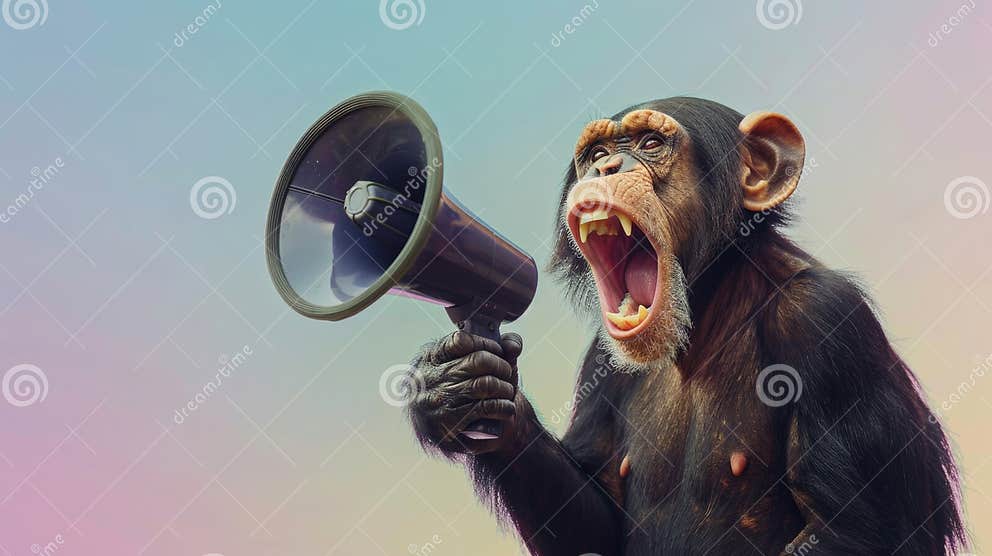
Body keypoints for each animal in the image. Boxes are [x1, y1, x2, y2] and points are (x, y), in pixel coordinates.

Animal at [405, 97, 965, 555]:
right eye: (596, 153)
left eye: (651, 144)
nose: (607, 166)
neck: (708, 316)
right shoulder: (603, 360)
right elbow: (595, 527)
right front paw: (458, 388)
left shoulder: (826, 322)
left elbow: (853, 530)